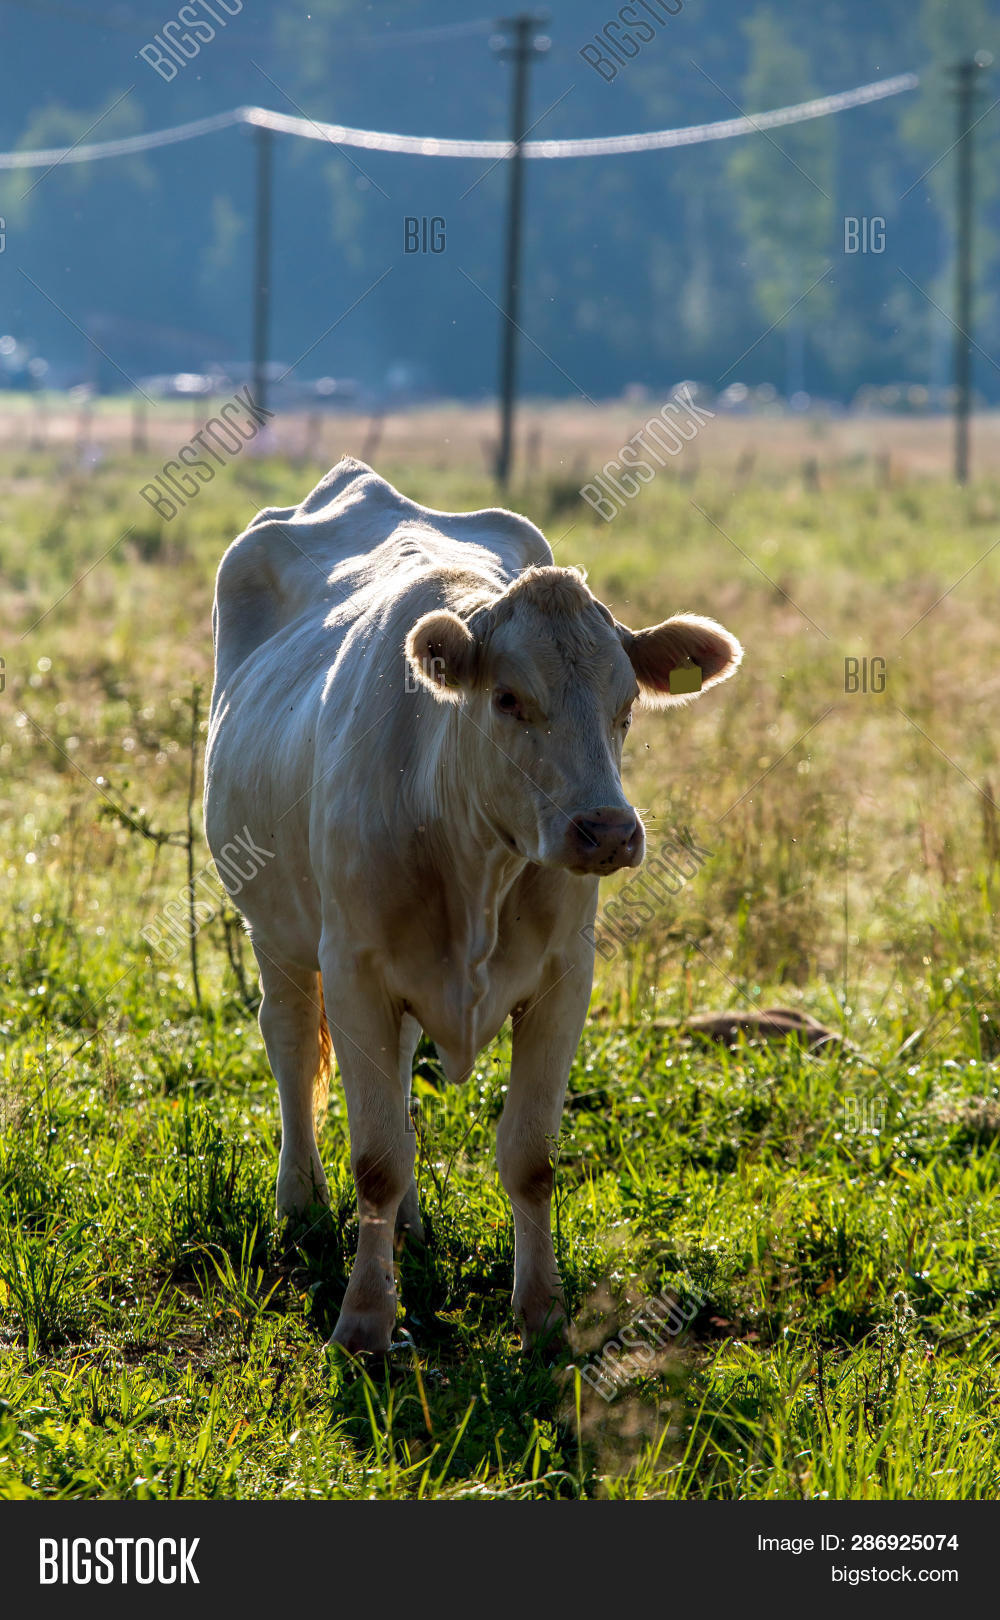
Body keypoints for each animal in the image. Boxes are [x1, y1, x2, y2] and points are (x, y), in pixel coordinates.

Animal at [203, 457, 742, 1355]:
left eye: (627, 705)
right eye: (508, 699)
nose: (607, 830)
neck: (474, 860)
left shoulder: (564, 979)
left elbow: (528, 1157)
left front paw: (543, 1315)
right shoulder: (352, 969)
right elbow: (374, 1157)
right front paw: (364, 1320)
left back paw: (409, 1227)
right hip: (274, 930)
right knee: (290, 1045)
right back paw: (300, 1204)